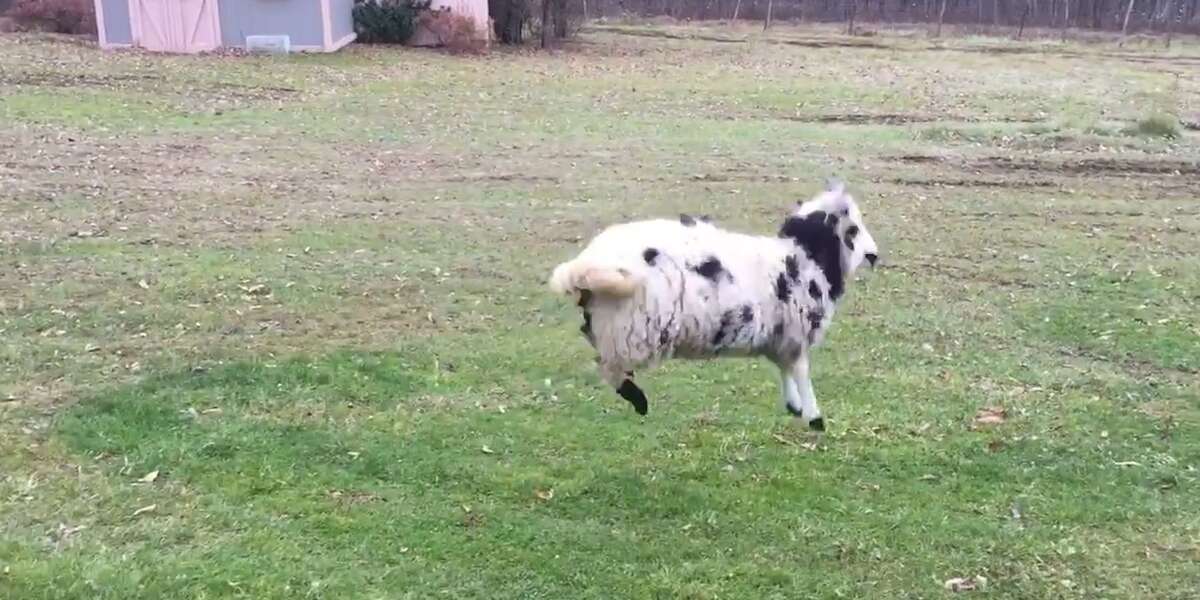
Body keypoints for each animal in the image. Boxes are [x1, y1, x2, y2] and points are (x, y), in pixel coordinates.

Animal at [548, 180, 879, 430]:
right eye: (853, 229)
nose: (874, 256)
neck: (803, 258)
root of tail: (587, 265)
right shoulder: (795, 333)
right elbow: (800, 371)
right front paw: (814, 416)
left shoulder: (780, 338)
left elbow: (785, 369)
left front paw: (795, 406)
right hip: (631, 329)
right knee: (609, 366)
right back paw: (638, 400)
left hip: (612, 324)